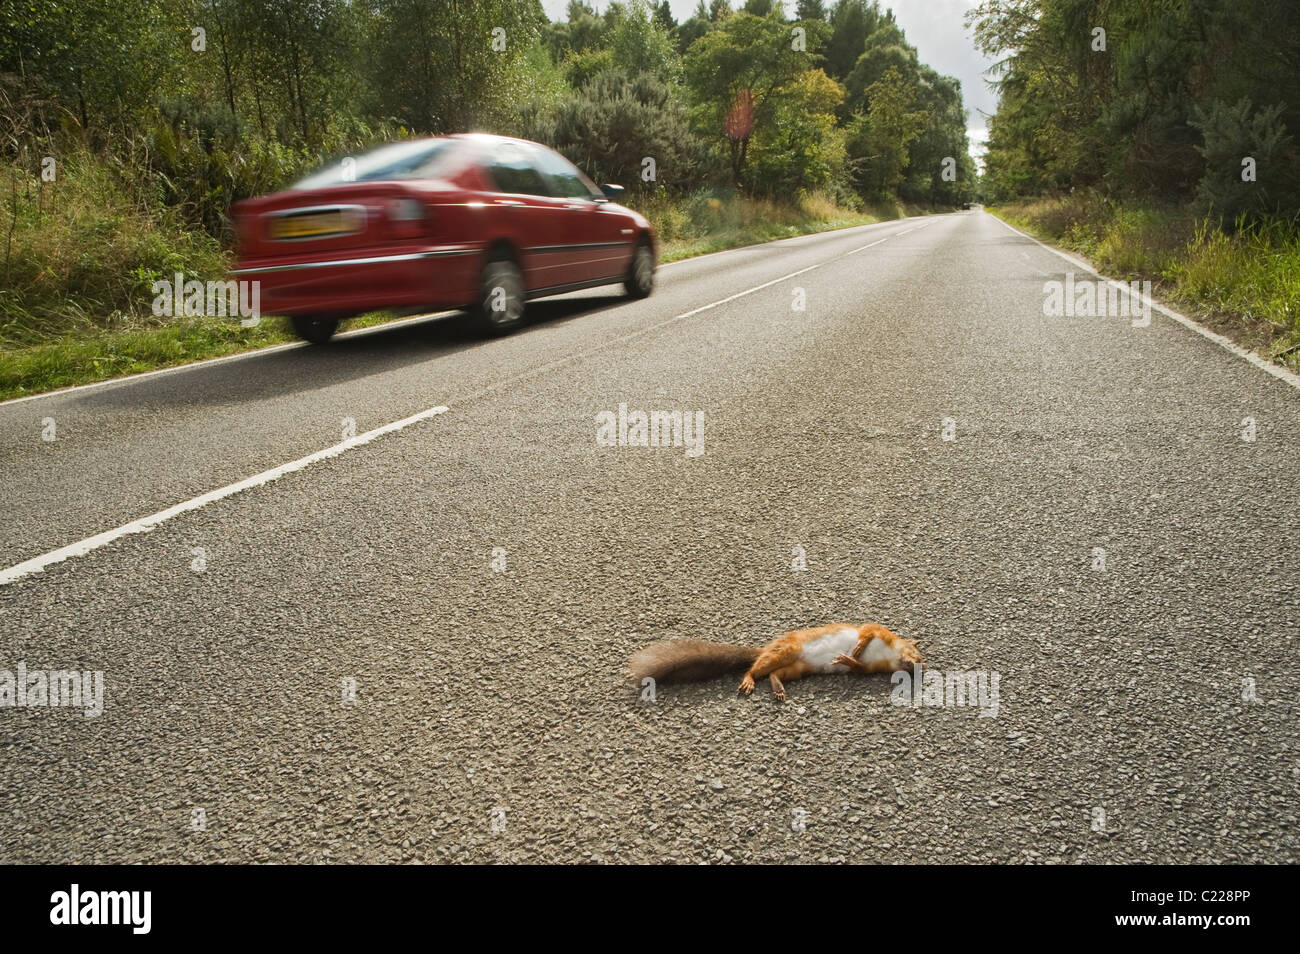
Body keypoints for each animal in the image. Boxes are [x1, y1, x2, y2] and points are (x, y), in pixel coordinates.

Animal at [628, 622, 924, 700]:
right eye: (917, 656)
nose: (916, 668)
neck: (888, 656)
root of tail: (765, 649)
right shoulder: (879, 630)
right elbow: (867, 631)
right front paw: (858, 648)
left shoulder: (872, 668)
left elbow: (860, 668)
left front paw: (848, 660)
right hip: (786, 652)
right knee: (754, 669)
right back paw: (749, 680)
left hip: (797, 668)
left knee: (774, 673)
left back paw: (778, 687)